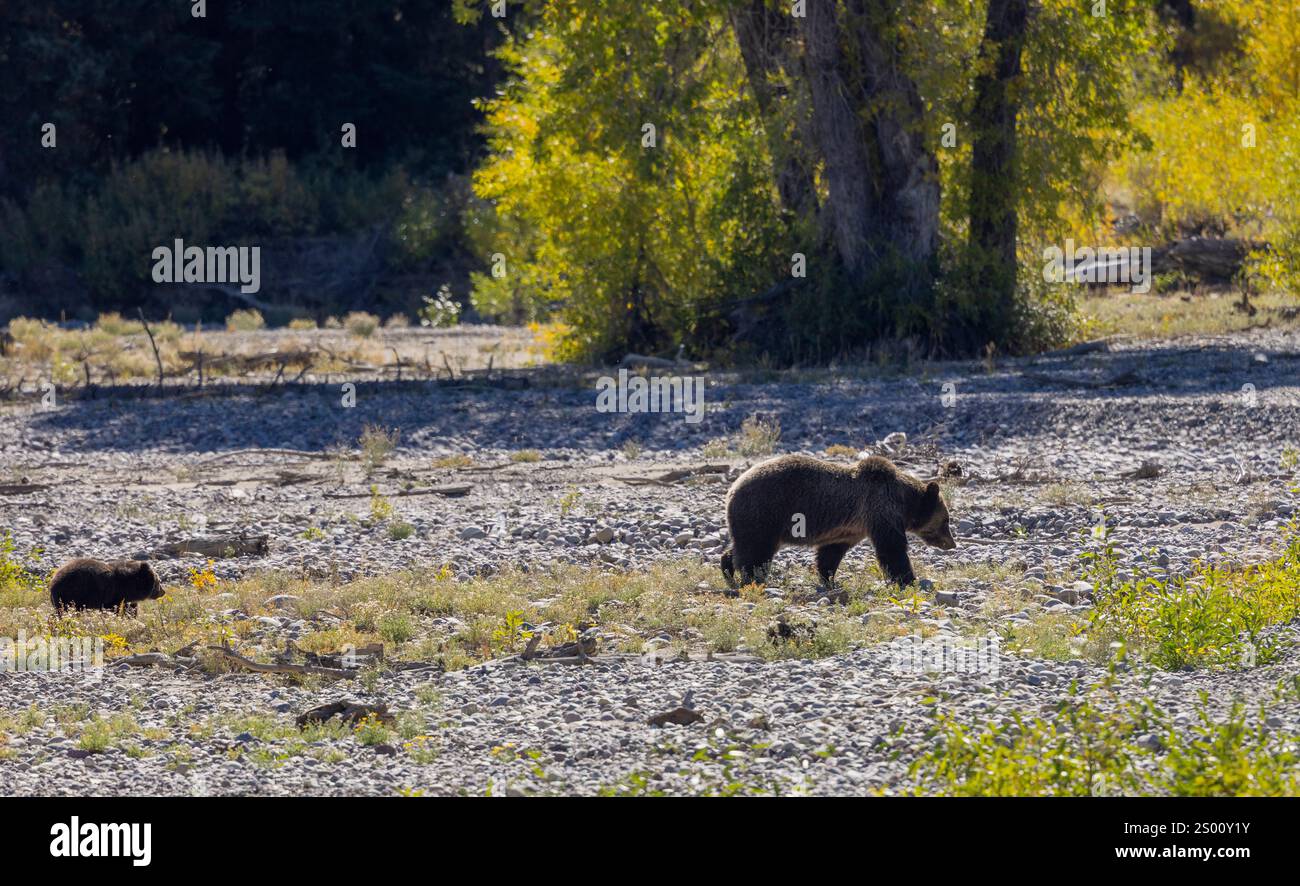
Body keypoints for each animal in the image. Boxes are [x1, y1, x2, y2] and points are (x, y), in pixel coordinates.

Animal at [720, 454, 955, 589]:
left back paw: (727, 570)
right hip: (766, 511)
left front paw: (829, 580)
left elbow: (830, 554)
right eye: (946, 521)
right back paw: (753, 579)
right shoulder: (881, 510)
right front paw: (908, 579)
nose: (952, 543)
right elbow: (892, 549)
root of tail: (733, 488)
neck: (904, 501)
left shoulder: (848, 529)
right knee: (756, 551)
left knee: (744, 546)